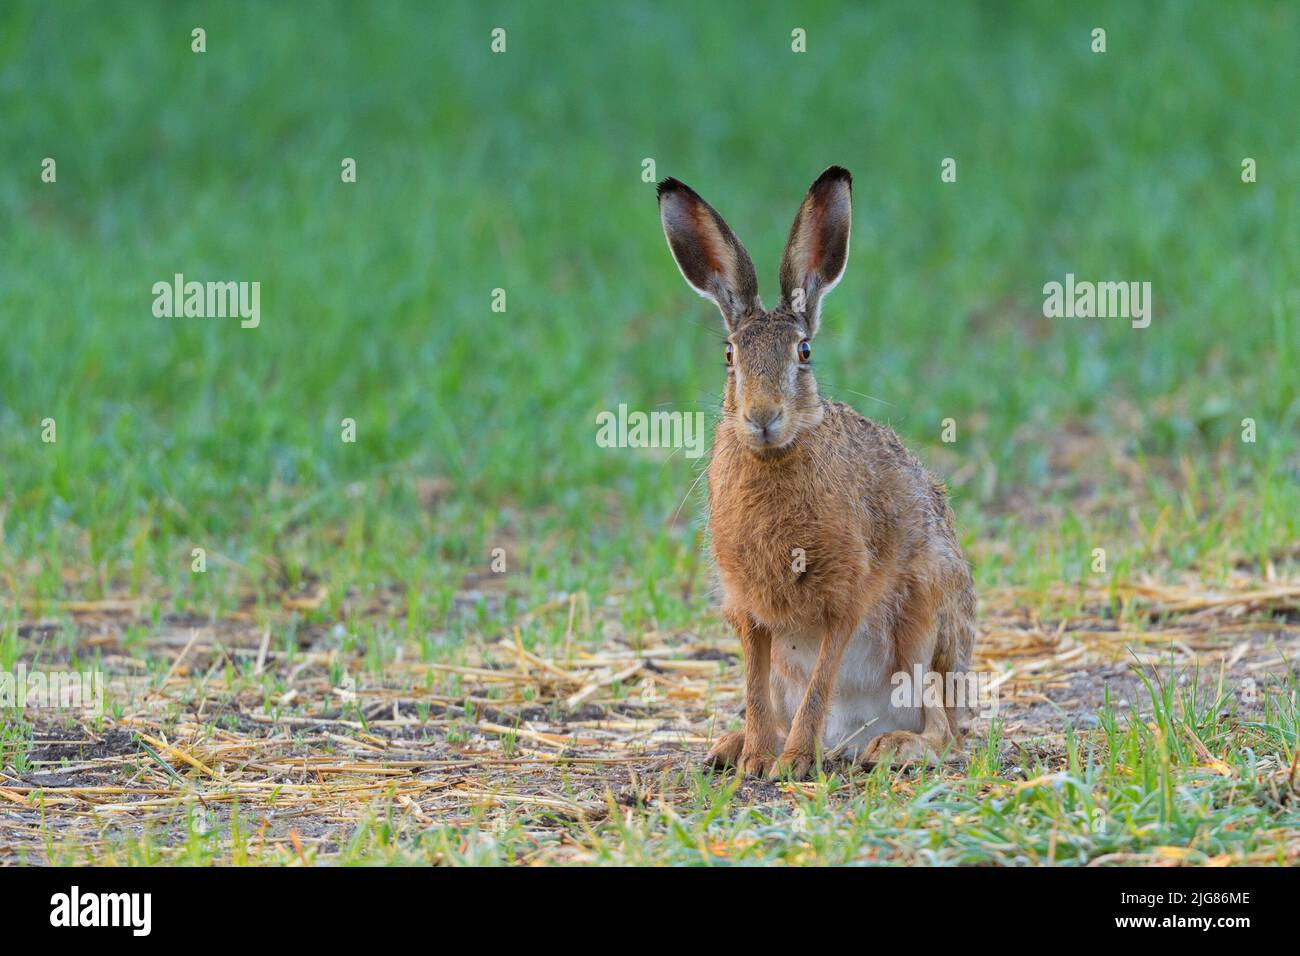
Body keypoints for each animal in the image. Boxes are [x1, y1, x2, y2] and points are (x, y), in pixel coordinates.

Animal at [657, 166, 977, 780]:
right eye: (730, 356)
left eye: (803, 352)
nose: (762, 417)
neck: (774, 459)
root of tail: (856, 732)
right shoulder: (747, 610)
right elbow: (754, 684)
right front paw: (758, 759)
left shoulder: (845, 597)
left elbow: (823, 679)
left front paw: (792, 763)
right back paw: (731, 746)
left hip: (926, 624)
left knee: (945, 732)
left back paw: (893, 748)